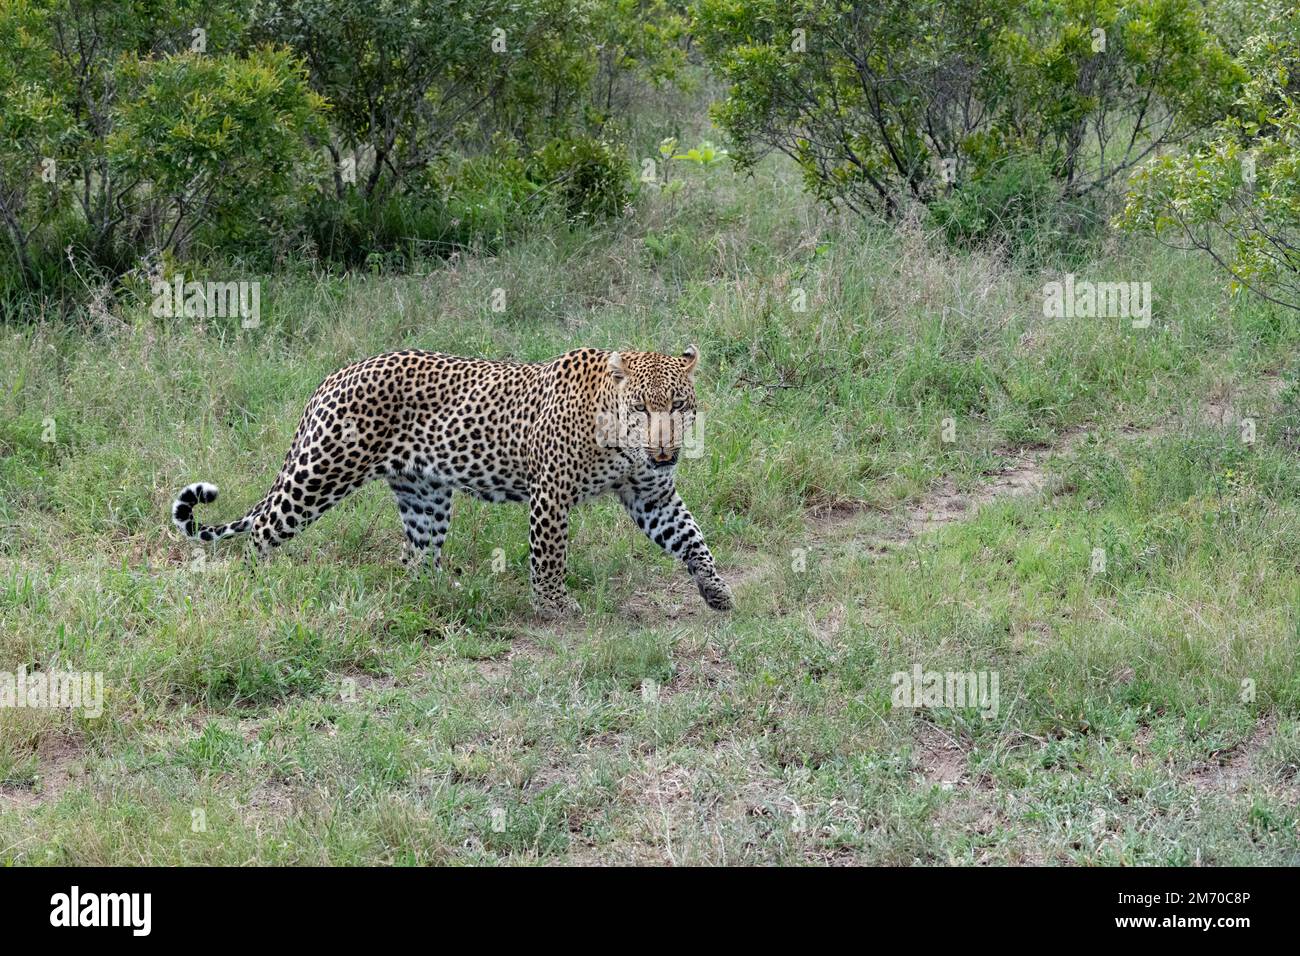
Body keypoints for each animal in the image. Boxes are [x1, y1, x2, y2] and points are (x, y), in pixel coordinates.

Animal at [171, 345, 734, 615]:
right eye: (641, 409)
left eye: (678, 407)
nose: (665, 450)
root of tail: (333, 377)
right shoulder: (551, 493)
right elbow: (550, 556)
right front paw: (553, 605)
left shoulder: (651, 495)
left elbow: (692, 537)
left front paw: (716, 591)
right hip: (322, 471)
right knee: (265, 529)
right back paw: (258, 583)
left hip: (424, 494)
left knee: (416, 558)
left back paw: (451, 594)